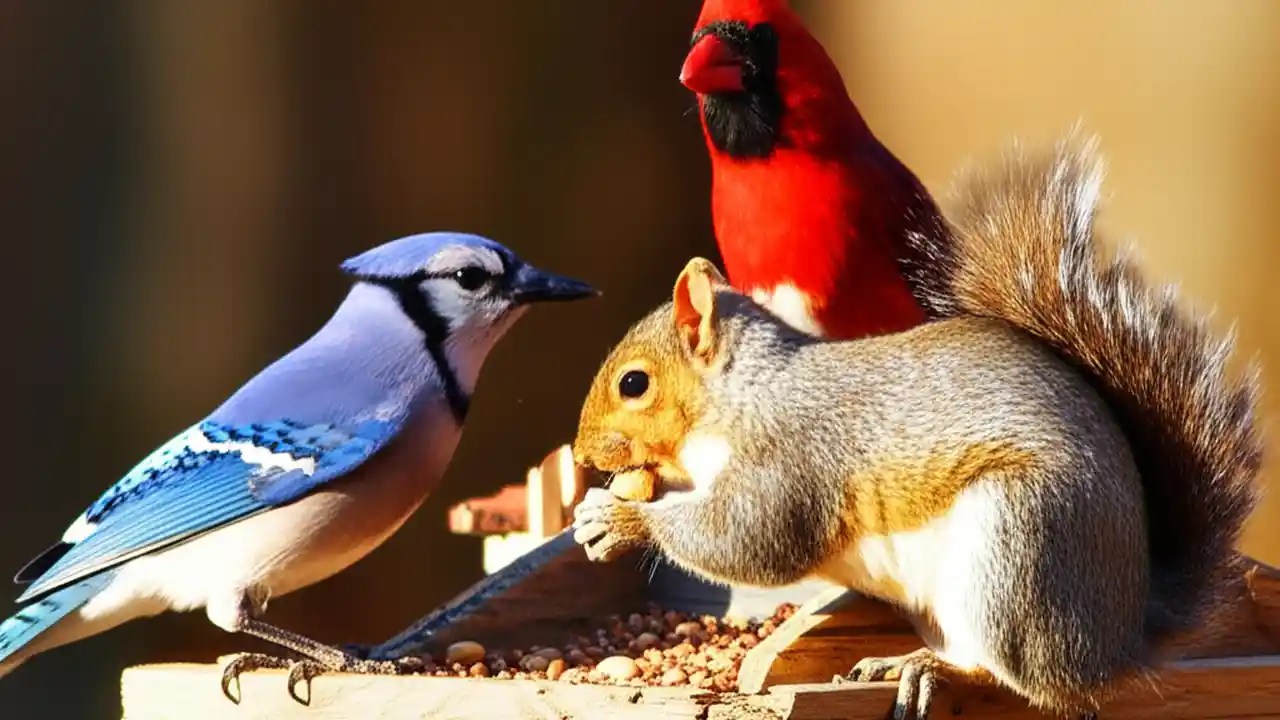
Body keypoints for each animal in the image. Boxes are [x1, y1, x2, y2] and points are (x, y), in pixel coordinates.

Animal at [569, 133, 1262, 718]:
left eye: (634, 384)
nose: (579, 456)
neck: (740, 395)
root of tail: (1119, 641)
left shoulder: (789, 456)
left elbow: (749, 540)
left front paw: (620, 520)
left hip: (1015, 548)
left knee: (1018, 679)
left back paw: (934, 672)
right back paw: (896, 661)